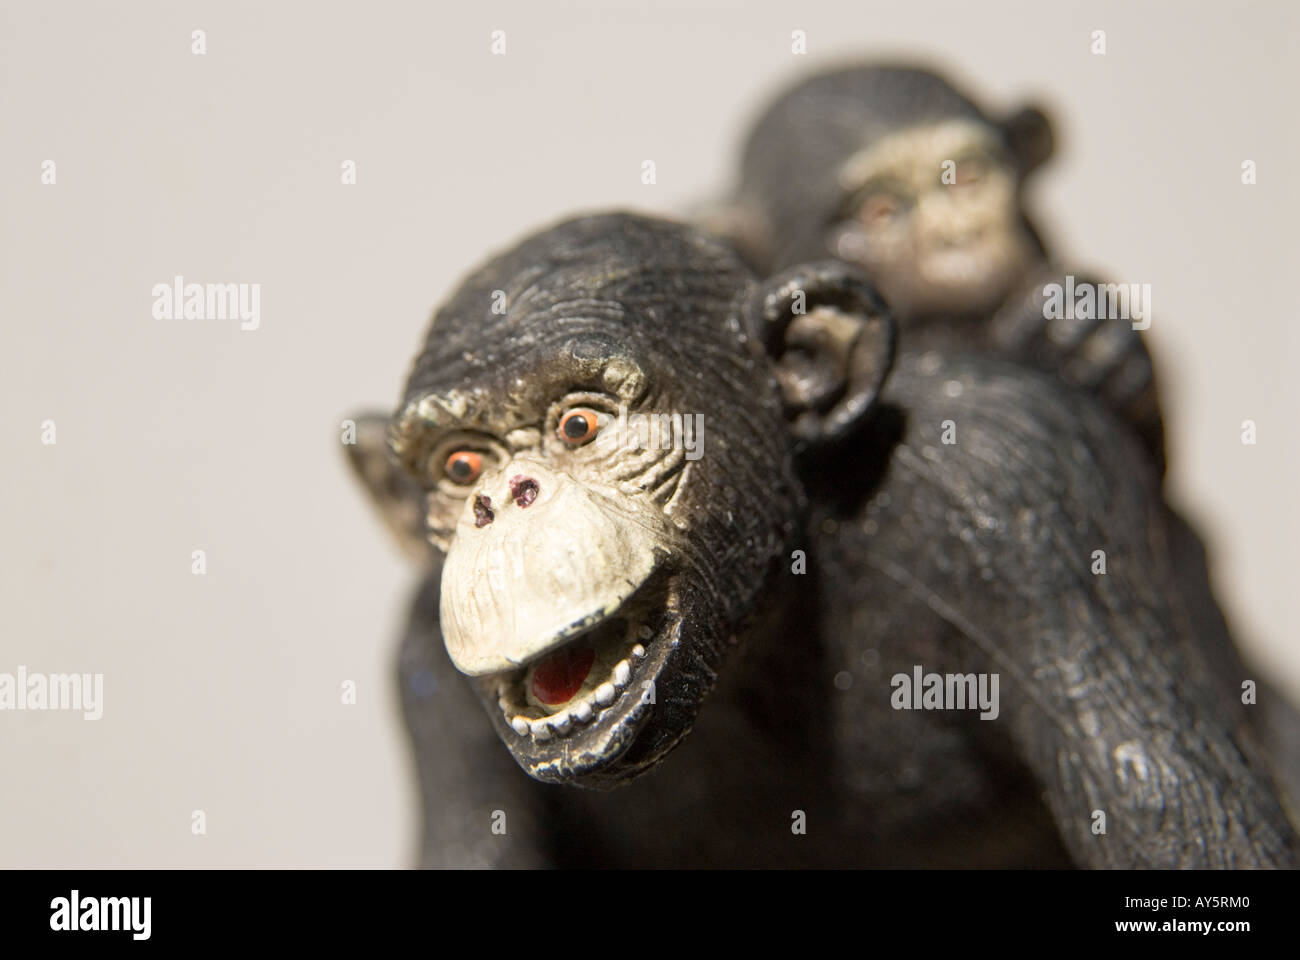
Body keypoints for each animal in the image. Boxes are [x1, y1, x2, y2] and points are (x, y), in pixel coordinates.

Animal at [345, 211, 1297, 867]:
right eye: (460, 464)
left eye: (579, 424)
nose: (502, 499)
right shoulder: (428, 679)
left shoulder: (1021, 500)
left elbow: (1179, 815)